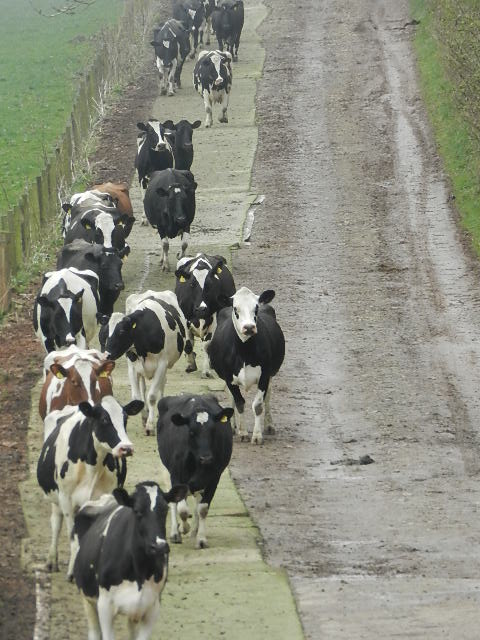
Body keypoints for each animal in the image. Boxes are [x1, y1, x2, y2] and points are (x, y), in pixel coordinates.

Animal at [37, 396, 143, 579]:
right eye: (104, 419)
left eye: (125, 418)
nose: (126, 448)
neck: (92, 465)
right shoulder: (66, 500)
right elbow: (72, 537)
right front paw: (72, 572)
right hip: (56, 499)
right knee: (56, 523)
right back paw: (51, 561)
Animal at [73, 482, 187, 640]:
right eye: (137, 511)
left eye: (165, 510)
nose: (159, 547)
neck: (139, 571)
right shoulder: (105, 606)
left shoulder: (152, 607)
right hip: (87, 598)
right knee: (94, 631)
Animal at [102, 290, 192, 436]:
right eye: (105, 332)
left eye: (121, 331)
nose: (106, 355)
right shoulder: (132, 367)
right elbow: (137, 397)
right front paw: (144, 418)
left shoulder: (162, 364)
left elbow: (152, 396)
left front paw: (150, 425)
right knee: (143, 387)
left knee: (161, 385)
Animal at [156, 394, 233, 548]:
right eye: (191, 432)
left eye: (213, 431)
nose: (206, 458)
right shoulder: (176, 475)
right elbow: (182, 510)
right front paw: (182, 528)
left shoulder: (214, 478)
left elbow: (202, 508)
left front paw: (201, 539)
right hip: (167, 470)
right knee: (173, 501)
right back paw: (175, 533)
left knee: (197, 499)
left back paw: (195, 529)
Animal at [207, 287, 285, 444]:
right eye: (236, 309)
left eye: (256, 308)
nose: (249, 327)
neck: (244, 352)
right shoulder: (229, 377)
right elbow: (239, 402)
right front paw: (242, 432)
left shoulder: (265, 375)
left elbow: (258, 404)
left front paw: (257, 435)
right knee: (231, 398)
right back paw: (232, 426)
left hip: (271, 374)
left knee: (268, 397)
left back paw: (269, 425)